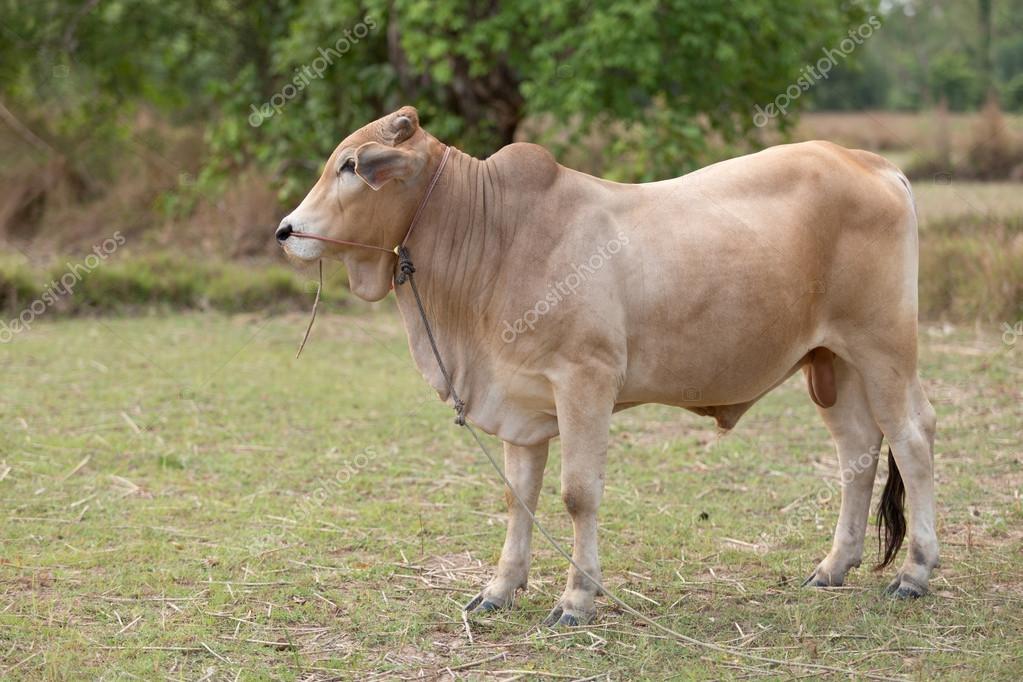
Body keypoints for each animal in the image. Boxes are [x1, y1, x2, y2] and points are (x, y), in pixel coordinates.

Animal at [276, 106, 938, 627]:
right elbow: (519, 497)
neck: (496, 233)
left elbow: (577, 494)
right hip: (832, 362)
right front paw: (499, 590)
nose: (286, 230)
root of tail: (872, 163)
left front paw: (576, 600)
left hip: (883, 348)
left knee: (912, 439)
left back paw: (914, 574)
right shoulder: (521, 400)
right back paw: (833, 567)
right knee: (857, 451)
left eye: (350, 166)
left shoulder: (584, 381)